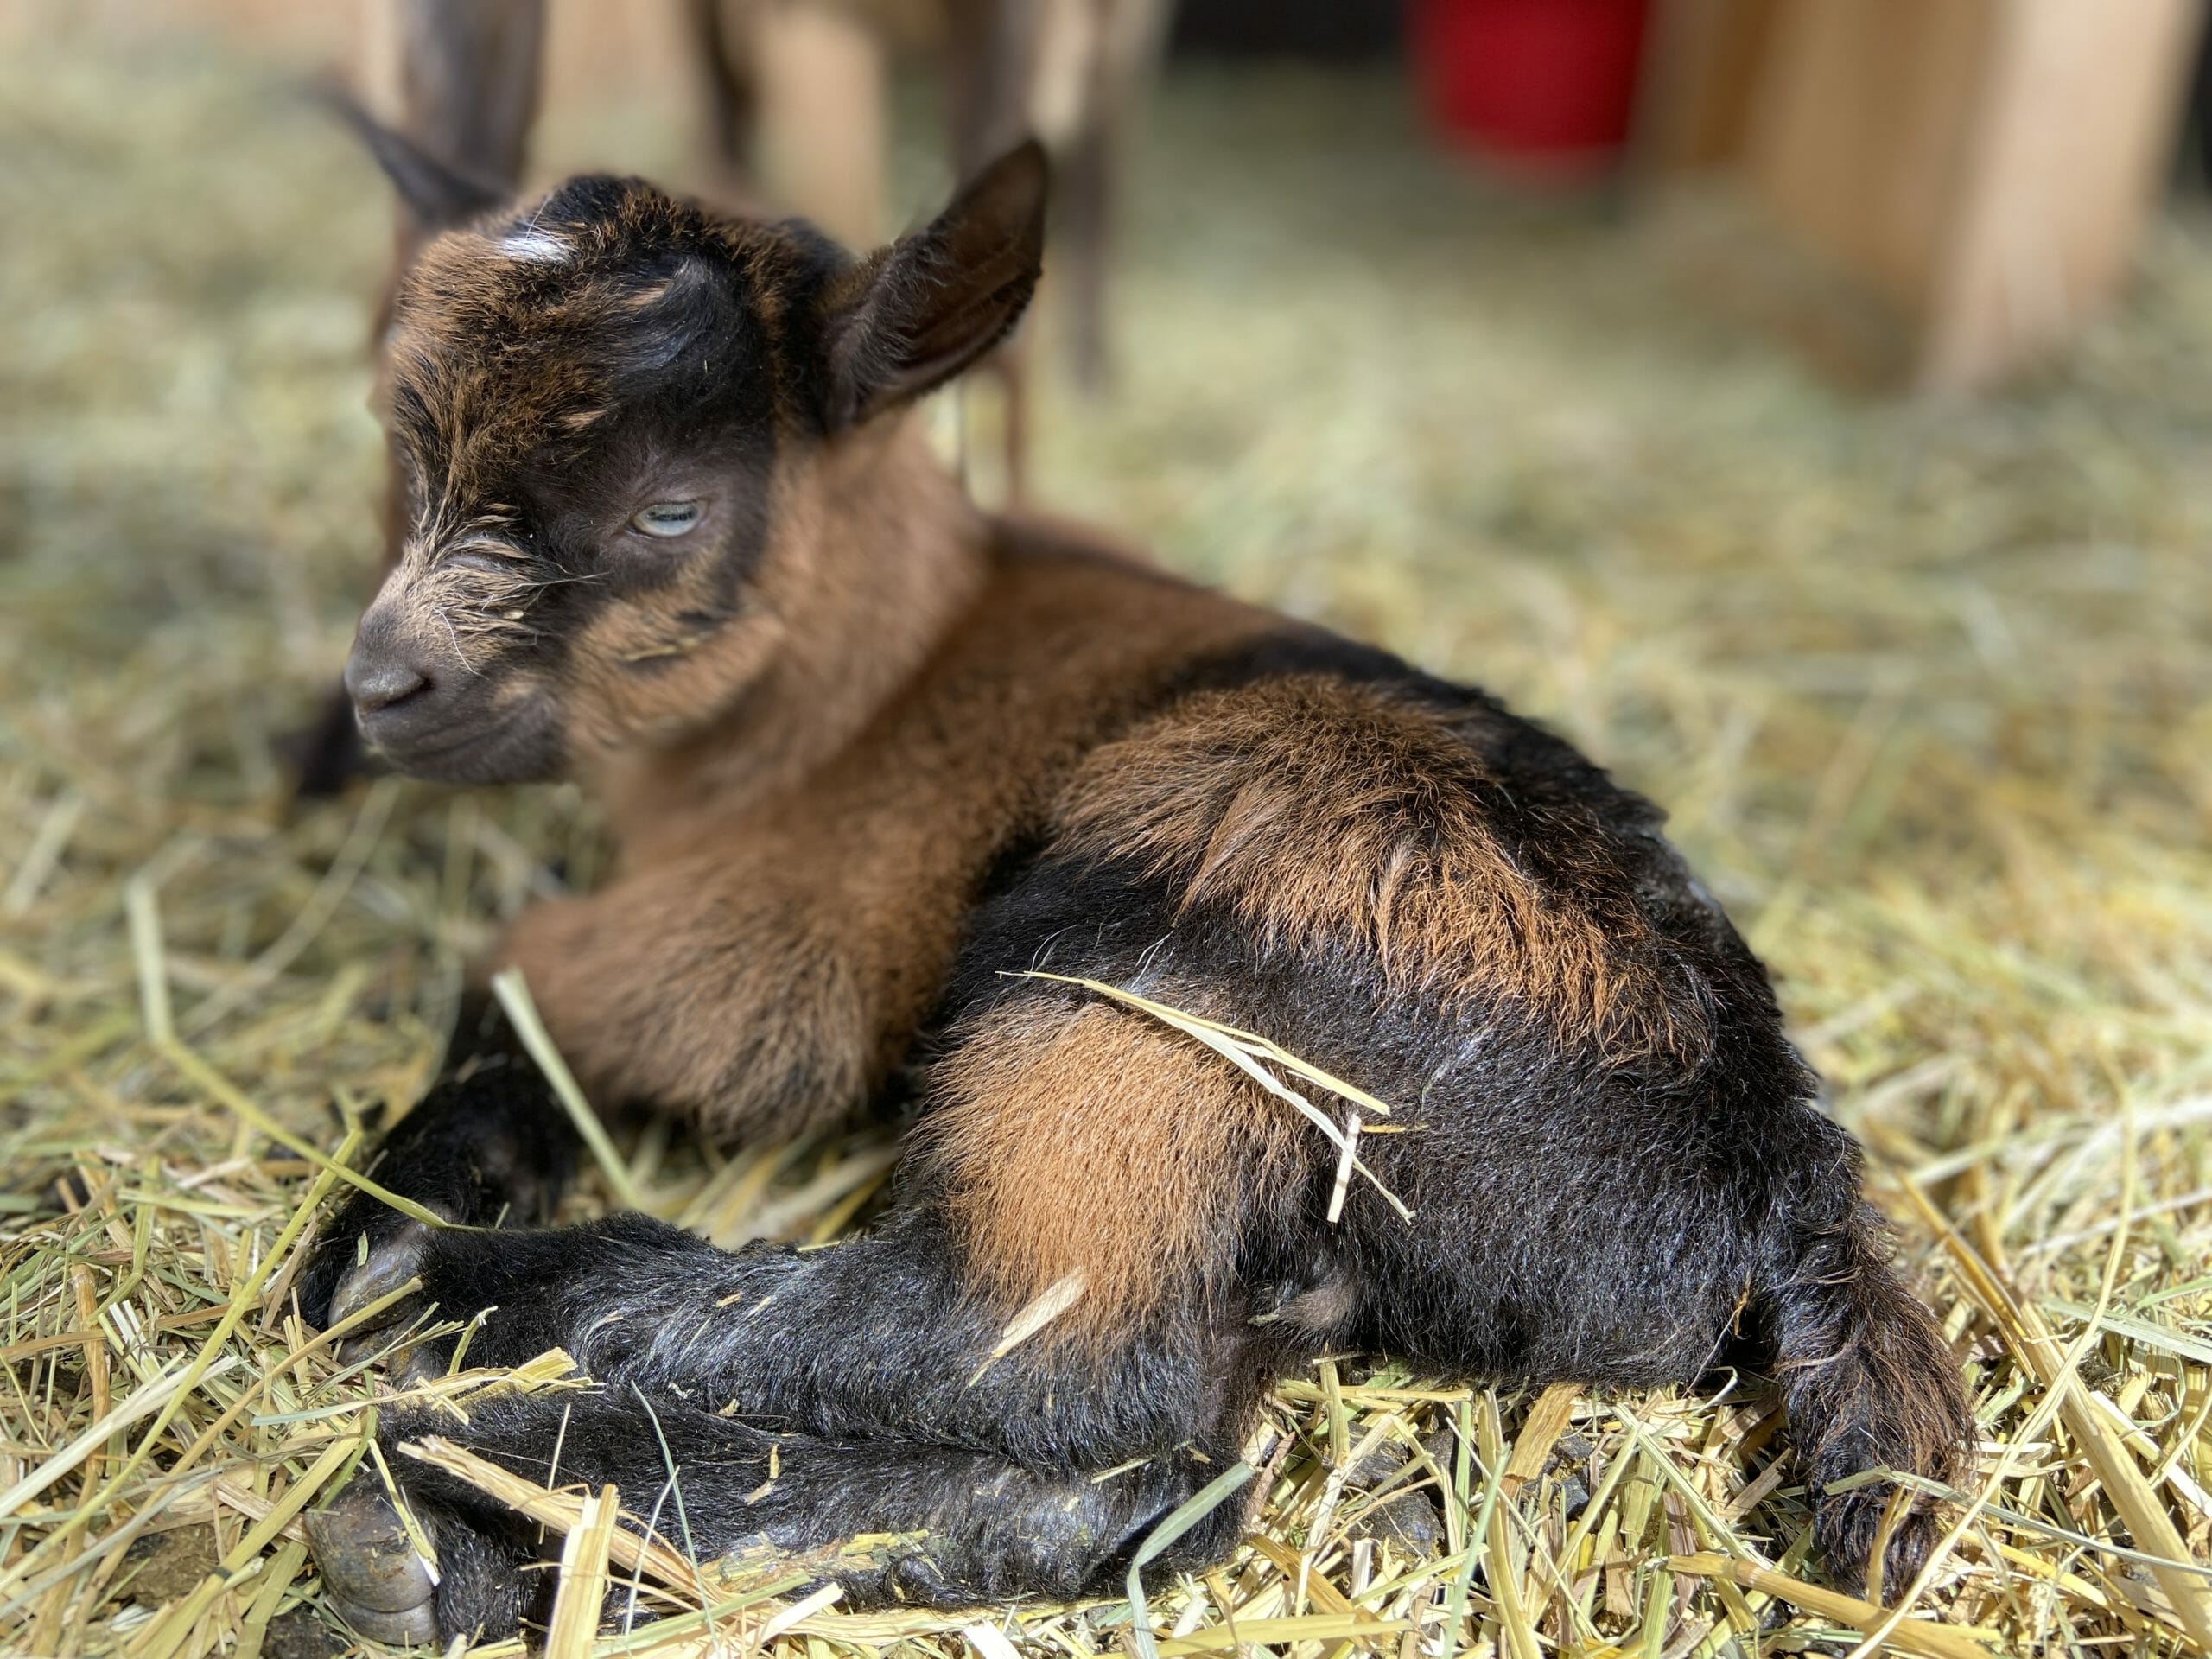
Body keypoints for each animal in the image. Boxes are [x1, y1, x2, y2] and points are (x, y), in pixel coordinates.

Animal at [295, 132, 1972, 1647]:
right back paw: (462, 1544)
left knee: (1054, 1351)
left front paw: (387, 1222)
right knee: (1159, 1471)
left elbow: (533, 964)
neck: (873, 680)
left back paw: (457, 1422)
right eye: (410, 445)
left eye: (669, 511)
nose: (383, 687)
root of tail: (1780, 1183)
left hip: (1159, 963)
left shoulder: (796, 940)